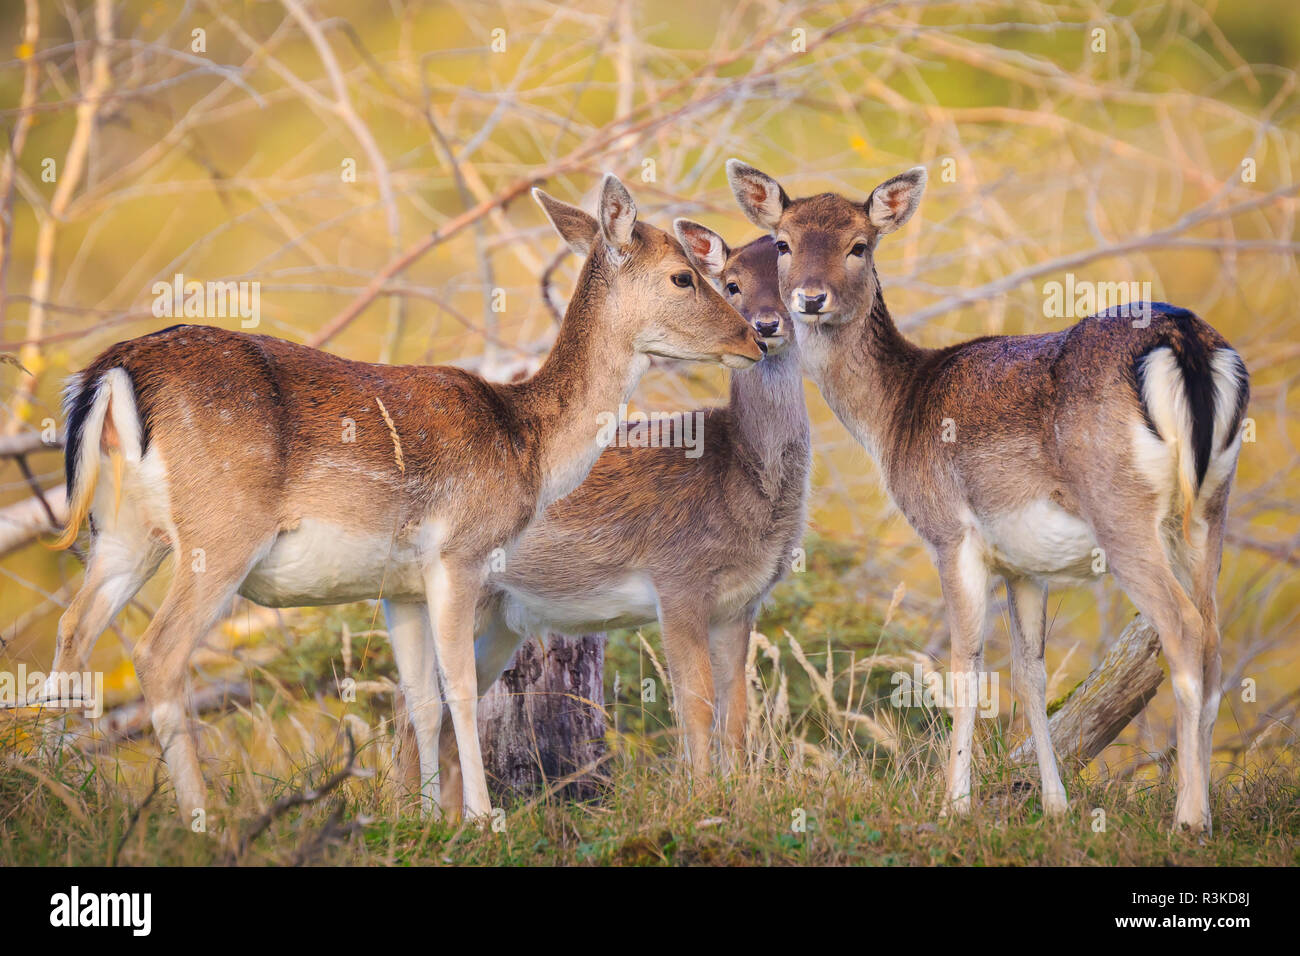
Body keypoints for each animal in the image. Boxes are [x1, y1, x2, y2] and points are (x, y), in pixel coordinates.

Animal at [41, 173, 765, 821]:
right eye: (683, 275)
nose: (753, 337)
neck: (526, 445)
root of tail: (112, 371)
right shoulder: (460, 551)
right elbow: (461, 689)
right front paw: (482, 818)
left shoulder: (401, 585)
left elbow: (420, 697)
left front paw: (422, 819)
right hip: (221, 529)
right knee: (157, 653)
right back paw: (201, 820)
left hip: (123, 530)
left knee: (74, 630)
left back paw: (52, 800)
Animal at [395, 227, 810, 813]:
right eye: (731, 283)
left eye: (795, 276)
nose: (765, 327)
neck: (740, 479)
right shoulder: (677, 579)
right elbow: (697, 702)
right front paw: (702, 801)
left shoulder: (742, 603)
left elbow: (737, 710)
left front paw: (739, 797)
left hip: (499, 618)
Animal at [726, 159, 1249, 833]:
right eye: (785, 242)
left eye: (859, 245)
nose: (809, 299)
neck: (896, 417)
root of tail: (1187, 340)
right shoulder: (1026, 564)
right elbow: (1030, 673)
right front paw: (1054, 805)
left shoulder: (949, 533)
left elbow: (966, 668)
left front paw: (954, 805)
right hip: (1211, 505)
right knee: (1213, 634)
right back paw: (1202, 808)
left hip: (1122, 509)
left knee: (1183, 628)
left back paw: (1188, 817)